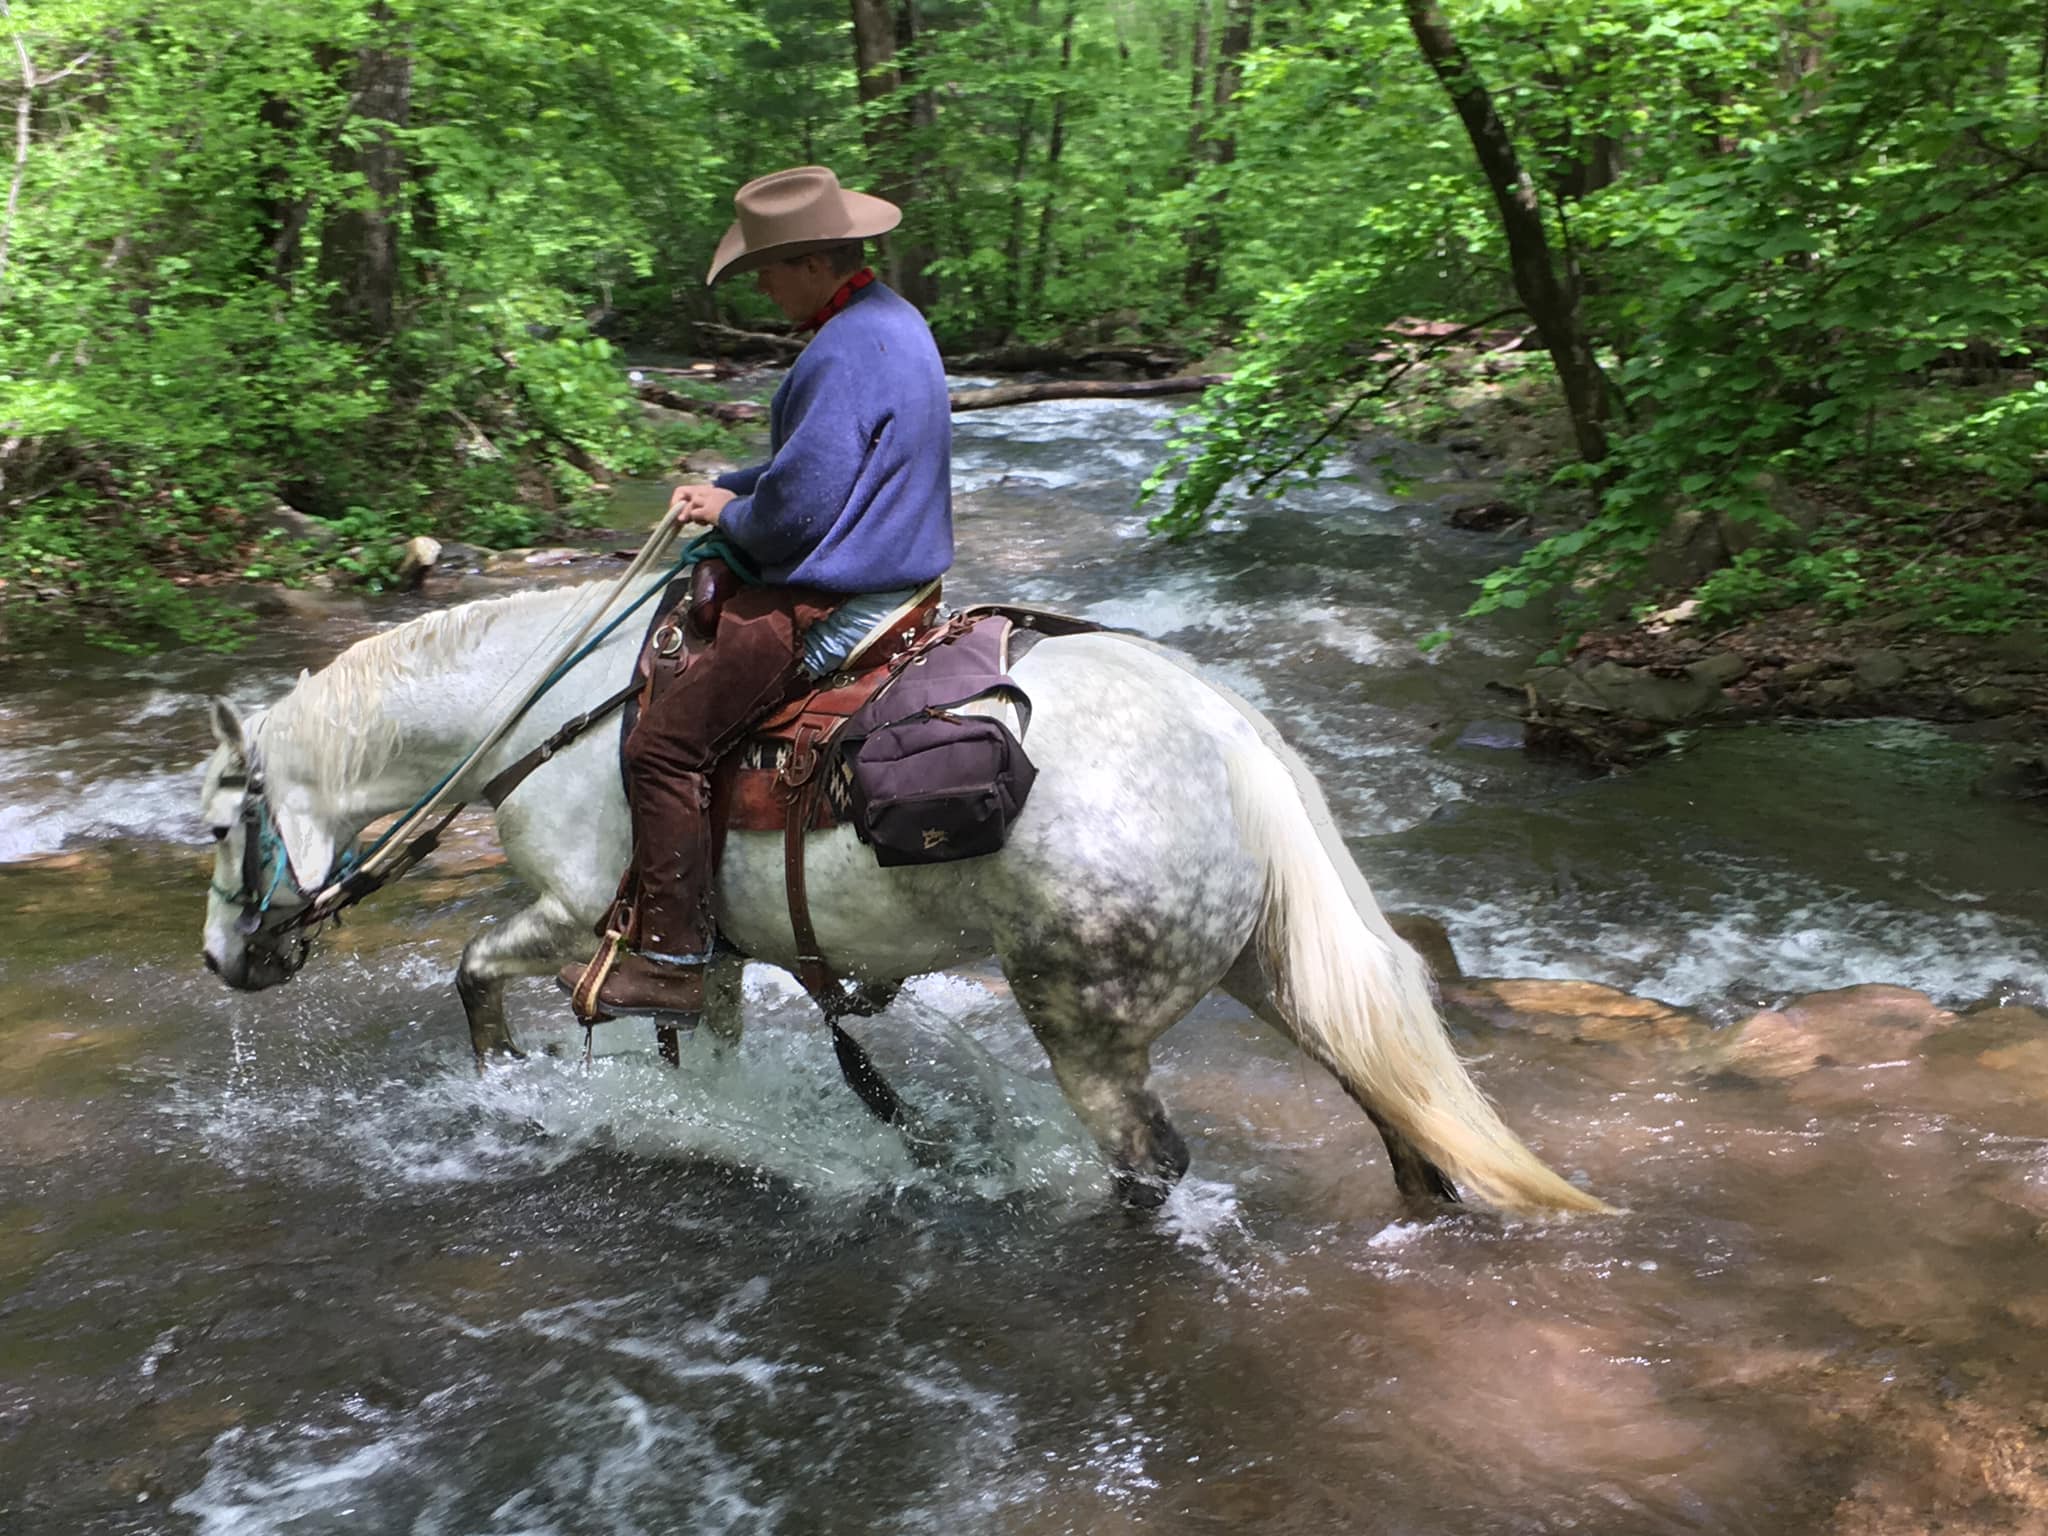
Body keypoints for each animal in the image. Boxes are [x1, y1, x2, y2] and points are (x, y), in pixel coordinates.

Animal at [197, 574, 1608, 1218]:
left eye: (218, 824)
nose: (223, 965)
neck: (543, 712)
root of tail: (1227, 735)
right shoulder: (705, 949)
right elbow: (707, 1057)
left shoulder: (570, 912)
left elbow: (472, 973)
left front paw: (505, 1092)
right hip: (1272, 969)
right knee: (1390, 1104)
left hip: (1084, 1012)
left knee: (1148, 1163)